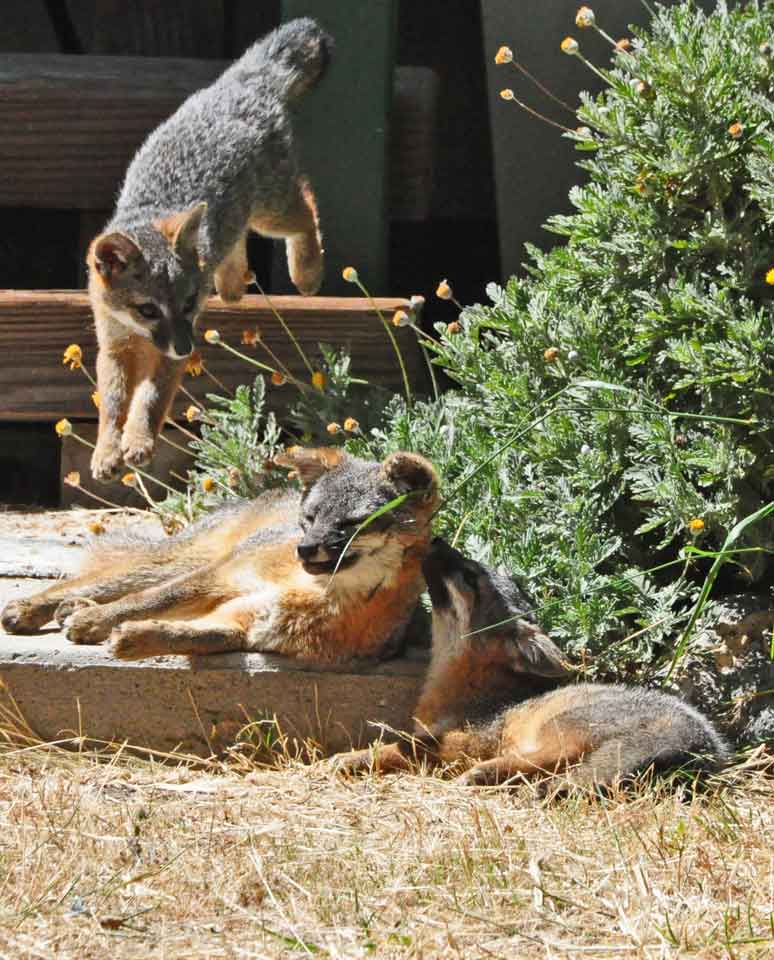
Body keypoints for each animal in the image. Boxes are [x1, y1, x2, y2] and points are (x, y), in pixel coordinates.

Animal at [0, 449, 438, 663]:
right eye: (311, 518)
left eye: (351, 524)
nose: (302, 548)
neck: (317, 592)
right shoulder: (219, 578)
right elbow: (146, 602)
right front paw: (97, 622)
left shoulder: (246, 625)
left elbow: (194, 636)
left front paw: (136, 639)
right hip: (181, 563)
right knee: (111, 585)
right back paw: (38, 608)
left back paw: (74, 609)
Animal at [87, 18, 331, 482]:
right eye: (147, 309)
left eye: (188, 303)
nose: (187, 348)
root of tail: (237, 84)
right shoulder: (114, 346)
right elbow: (111, 405)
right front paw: (107, 450)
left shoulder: (167, 356)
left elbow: (149, 401)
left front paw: (139, 441)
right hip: (237, 219)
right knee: (233, 242)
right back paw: (232, 283)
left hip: (272, 214)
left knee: (308, 207)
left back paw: (307, 271)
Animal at [331, 538, 730, 790]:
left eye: (470, 576)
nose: (438, 538)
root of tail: (699, 738)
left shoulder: (464, 741)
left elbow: (403, 747)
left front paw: (353, 757)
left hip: (557, 728)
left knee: (542, 763)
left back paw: (483, 773)